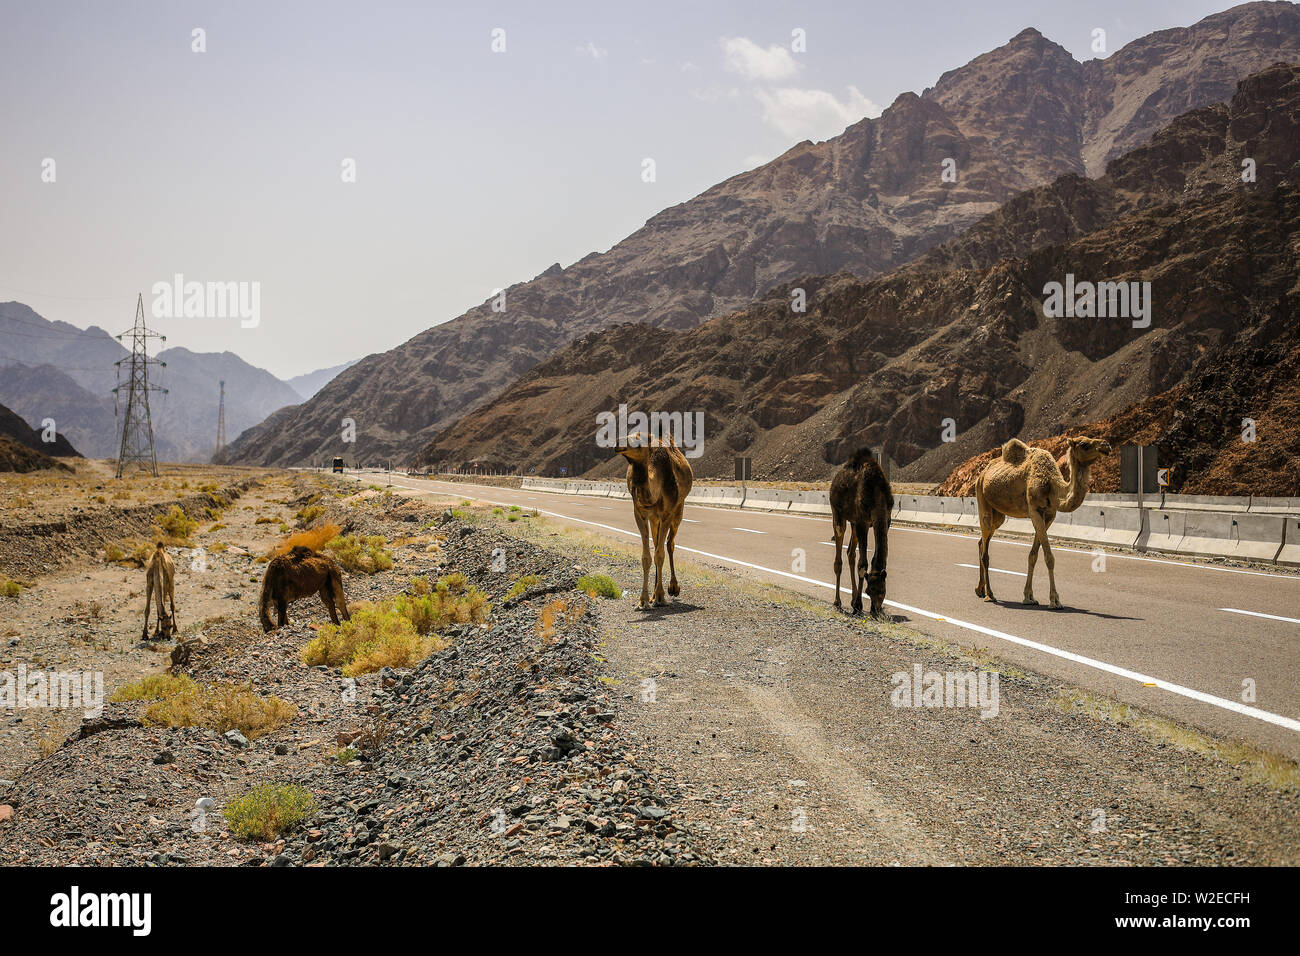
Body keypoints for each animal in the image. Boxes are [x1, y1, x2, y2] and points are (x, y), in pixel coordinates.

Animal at [616, 431, 693, 607]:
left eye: (638, 440)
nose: (617, 443)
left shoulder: (667, 513)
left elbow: (660, 554)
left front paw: (660, 596)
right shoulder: (640, 513)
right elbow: (647, 556)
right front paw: (643, 600)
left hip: (678, 511)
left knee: (669, 544)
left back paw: (673, 587)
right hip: (654, 519)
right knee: (658, 543)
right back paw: (653, 595)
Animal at [830, 449, 894, 617]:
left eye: (882, 592)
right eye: (868, 591)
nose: (876, 610)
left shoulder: (886, 520)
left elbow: (869, 559)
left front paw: (858, 604)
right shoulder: (862, 522)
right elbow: (862, 564)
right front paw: (858, 605)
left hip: (853, 523)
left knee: (850, 553)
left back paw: (851, 600)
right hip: (838, 514)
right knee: (839, 558)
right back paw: (837, 602)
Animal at [975, 436, 1112, 608]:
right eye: (1084, 444)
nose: (1106, 445)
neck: (1053, 487)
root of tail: (981, 474)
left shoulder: (1049, 515)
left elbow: (1033, 555)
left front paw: (1029, 597)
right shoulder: (1035, 512)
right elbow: (1049, 557)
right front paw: (1054, 600)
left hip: (998, 514)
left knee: (981, 541)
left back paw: (979, 590)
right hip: (982, 501)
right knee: (985, 552)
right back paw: (990, 594)